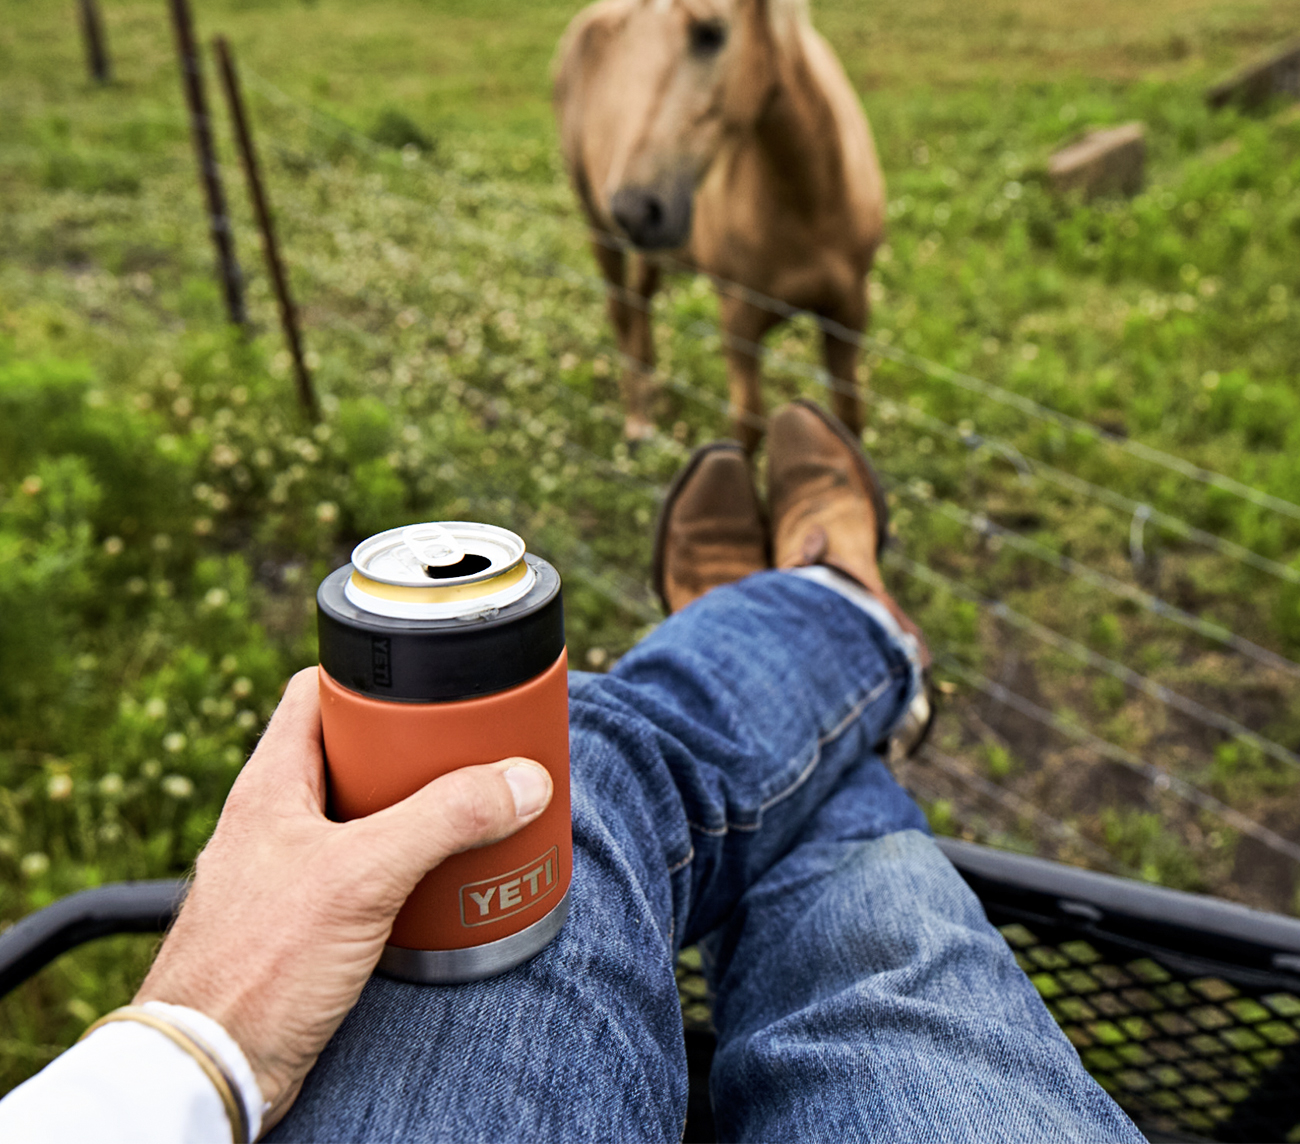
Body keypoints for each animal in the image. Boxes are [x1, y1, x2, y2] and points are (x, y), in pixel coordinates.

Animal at [553, 0, 889, 452]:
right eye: (633, 35)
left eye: (710, 33)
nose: (634, 208)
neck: (809, 207)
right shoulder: (739, 323)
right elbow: (747, 428)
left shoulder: (847, 317)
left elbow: (849, 419)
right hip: (599, 228)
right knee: (620, 311)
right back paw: (638, 420)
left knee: (640, 303)